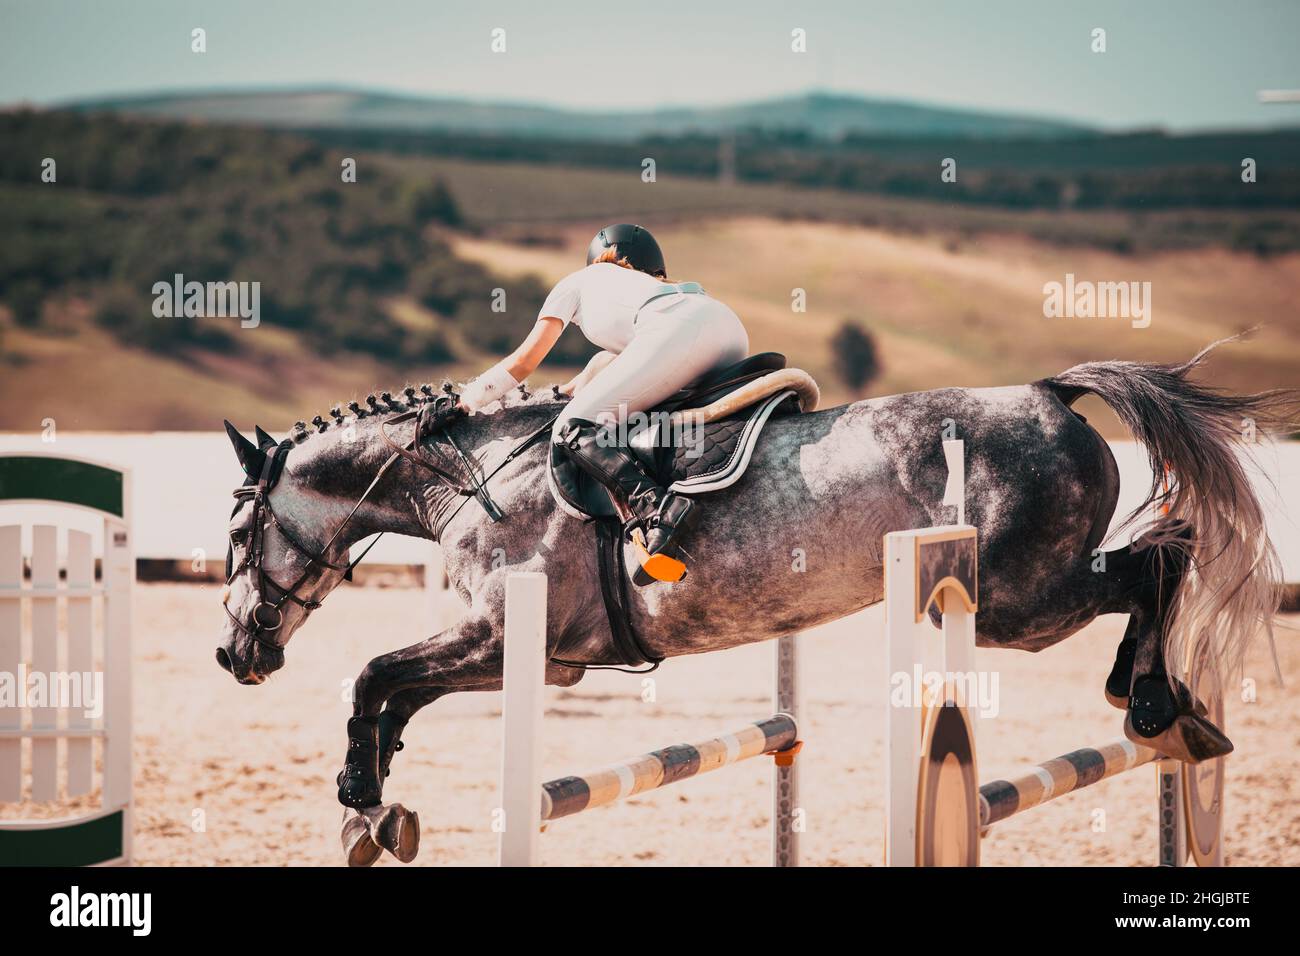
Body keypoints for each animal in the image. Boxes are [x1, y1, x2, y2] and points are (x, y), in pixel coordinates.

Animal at [216, 342, 1288, 865]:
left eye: (235, 530)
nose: (235, 655)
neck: (473, 475)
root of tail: (1045, 391)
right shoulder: (526, 654)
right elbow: (395, 689)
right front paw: (377, 791)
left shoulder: (510, 640)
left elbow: (375, 673)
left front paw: (360, 797)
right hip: (1026, 600)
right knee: (1164, 558)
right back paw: (1176, 711)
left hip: (1020, 603)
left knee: (1158, 567)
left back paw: (1148, 700)